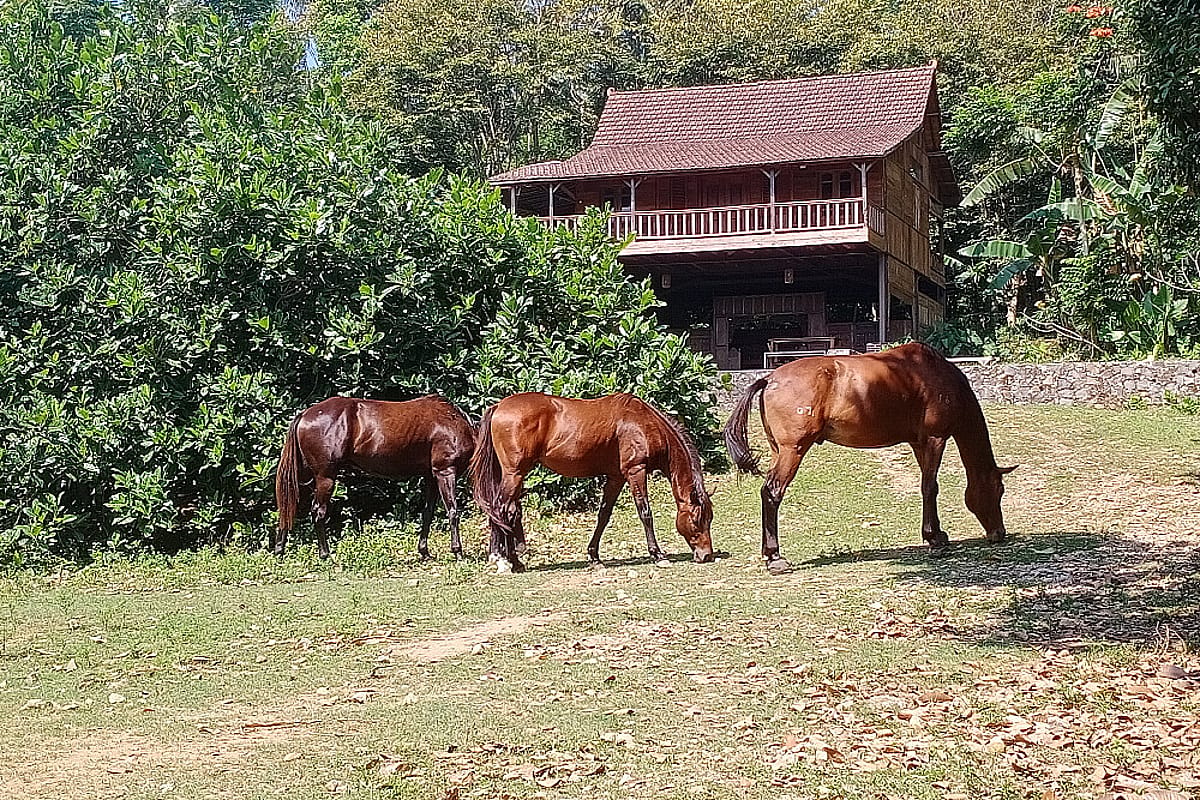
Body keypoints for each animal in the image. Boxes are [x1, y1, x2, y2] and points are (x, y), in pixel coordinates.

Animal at [274, 395, 475, 559]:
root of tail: (304, 415)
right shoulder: (445, 471)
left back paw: (279, 551)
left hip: (303, 477)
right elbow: (453, 511)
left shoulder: (431, 477)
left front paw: (424, 552)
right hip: (325, 478)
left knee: (288, 506)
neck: (456, 424)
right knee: (318, 511)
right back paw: (325, 555)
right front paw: (457, 552)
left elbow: (427, 513)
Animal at [470, 392, 715, 573]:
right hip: (514, 474)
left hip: (515, 476)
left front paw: (594, 556)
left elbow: (603, 515)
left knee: (509, 511)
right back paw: (505, 560)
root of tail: (499, 406)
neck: (645, 423)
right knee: (501, 509)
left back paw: (511, 559)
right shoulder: (635, 471)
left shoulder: (616, 478)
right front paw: (658, 554)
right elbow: (645, 512)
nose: (706, 555)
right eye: (697, 519)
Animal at [723, 342, 1016, 574]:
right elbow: (930, 487)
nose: (999, 533)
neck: (937, 375)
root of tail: (769, 379)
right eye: (998, 490)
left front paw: (936, 535)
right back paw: (775, 557)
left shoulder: (919, 443)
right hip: (791, 451)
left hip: (779, 451)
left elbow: (925, 487)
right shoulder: (936, 439)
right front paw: (934, 539)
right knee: (772, 492)